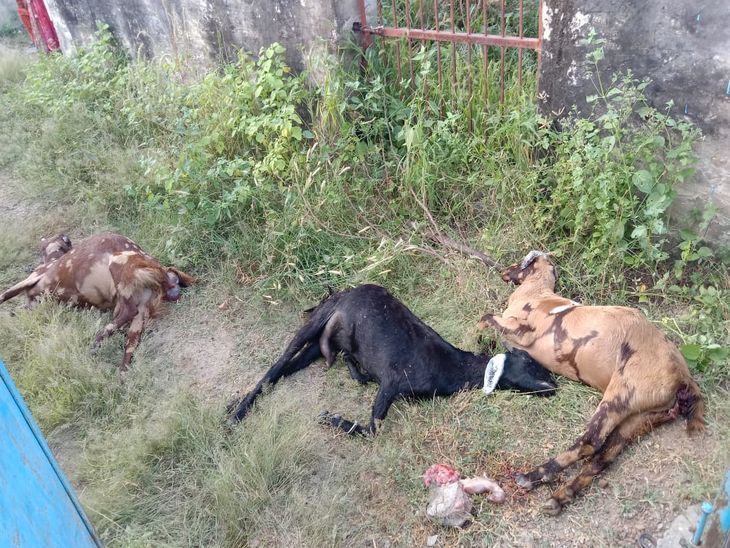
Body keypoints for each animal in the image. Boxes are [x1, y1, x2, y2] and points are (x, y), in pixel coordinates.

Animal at [0, 233, 195, 370]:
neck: (52, 259)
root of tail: (164, 277)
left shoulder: (33, 277)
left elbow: (5, 294)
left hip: (118, 266)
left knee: (126, 312)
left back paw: (94, 345)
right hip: (140, 312)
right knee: (126, 344)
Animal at [227, 284, 556, 435]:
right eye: (534, 369)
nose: (553, 387)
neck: (451, 366)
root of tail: (344, 291)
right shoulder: (392, 381)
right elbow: (372, 428)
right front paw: (330, 419)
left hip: (320, 344)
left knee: (293, 366)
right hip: (315, 322)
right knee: (277, 365)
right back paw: (236, 413)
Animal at [477, 250, 706, 515]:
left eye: (518, 263)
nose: (503, 271)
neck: (538, 293)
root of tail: (682, 376)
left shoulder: (524, 331)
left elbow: (486, 317)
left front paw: (478, 337)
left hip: (620, 393)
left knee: (590, 442)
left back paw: (533, 476)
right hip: (641, 414)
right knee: (603, 457)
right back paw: (559, 497)